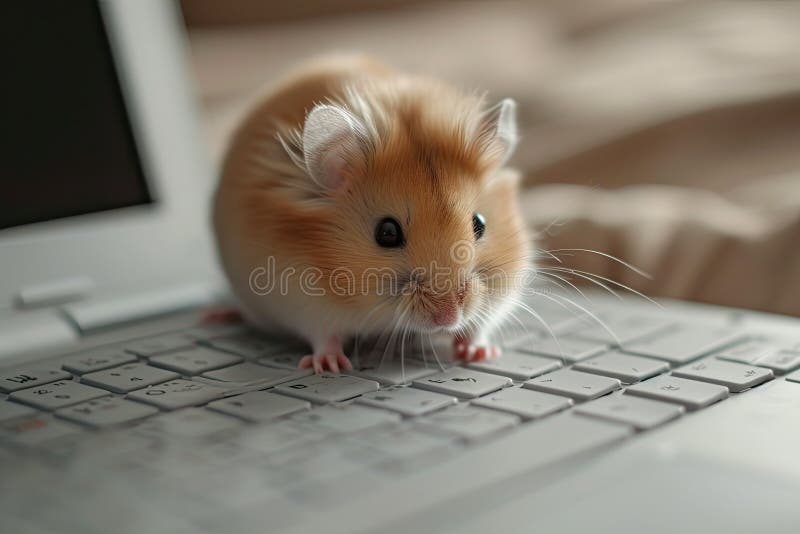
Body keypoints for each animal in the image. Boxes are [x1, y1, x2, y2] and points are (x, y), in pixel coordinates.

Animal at [213, 55, 531, 374]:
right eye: (387, 233)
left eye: (480, 224)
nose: (448, 318)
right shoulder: (302, 301)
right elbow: (323, 336)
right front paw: (331, 366)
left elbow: (479, 326)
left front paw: (480, 352)